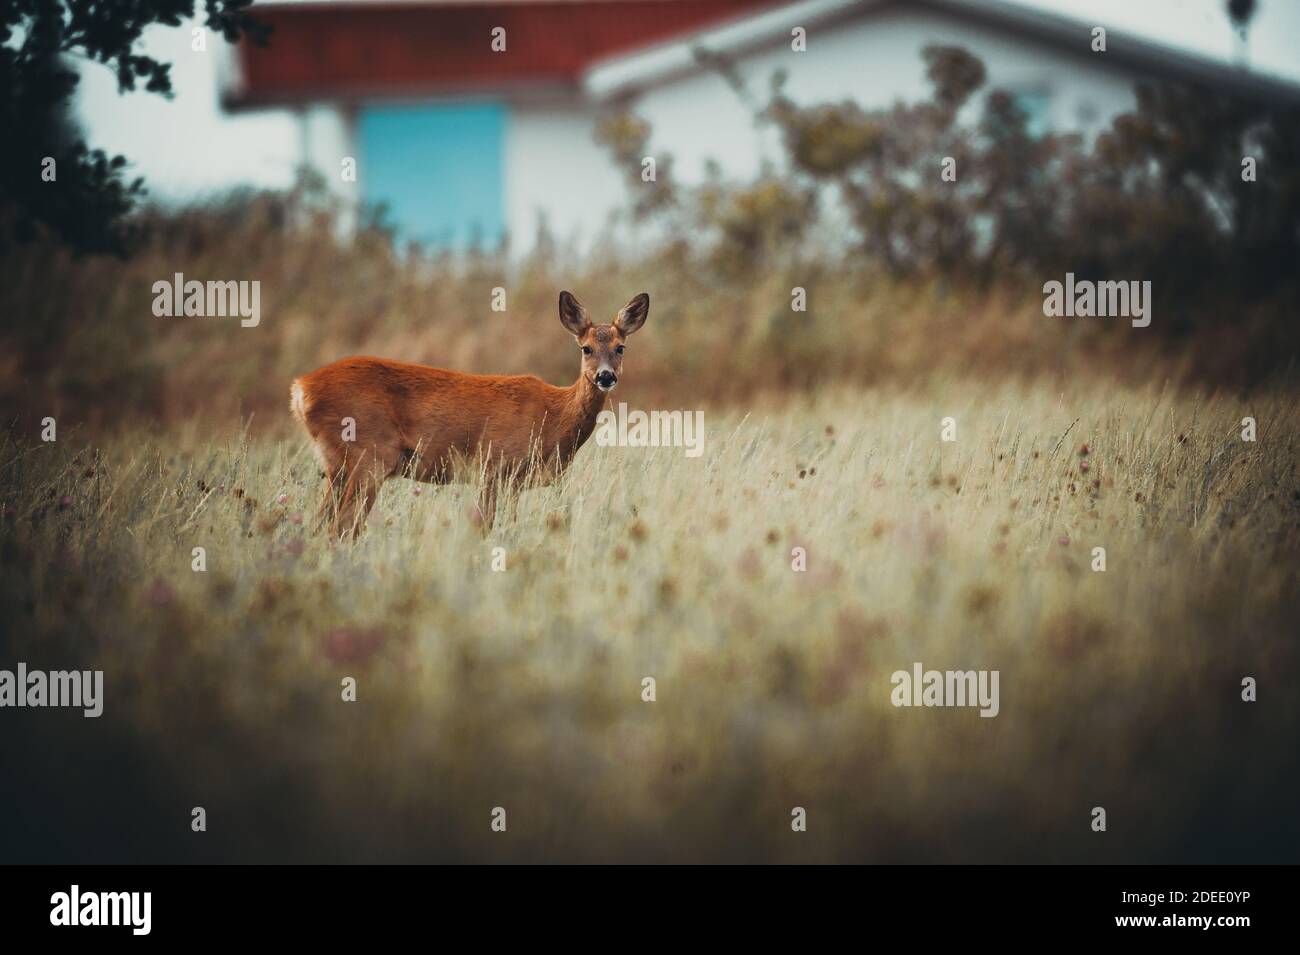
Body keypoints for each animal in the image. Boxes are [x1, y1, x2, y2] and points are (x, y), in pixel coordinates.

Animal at [290, 290, 649, 538]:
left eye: (620, 347)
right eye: (586, 348)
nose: (605, 376)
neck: (554, 417)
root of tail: (301, 388)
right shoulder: (497, 467)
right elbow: (489, 530)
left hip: (338, 465)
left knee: (321, 525)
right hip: (370, 456)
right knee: (341, 528)